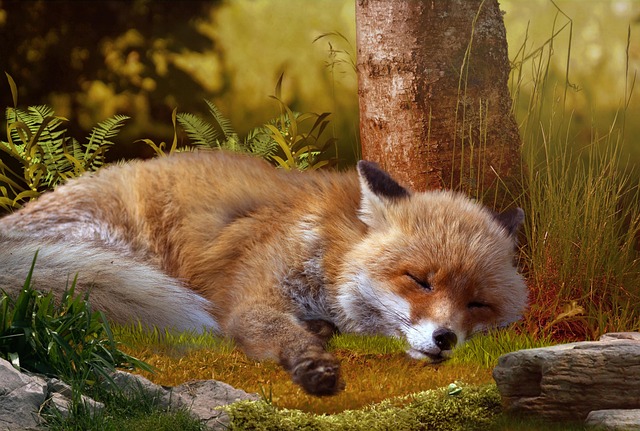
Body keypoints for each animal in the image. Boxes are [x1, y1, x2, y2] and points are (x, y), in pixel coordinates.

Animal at [0, 150, 527, 395]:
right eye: (419, 280)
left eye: (478, 304)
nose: (445, 339)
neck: (328, 249)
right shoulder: (252, 298)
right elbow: (270, 330)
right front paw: (313, 364)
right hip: (115, 247)